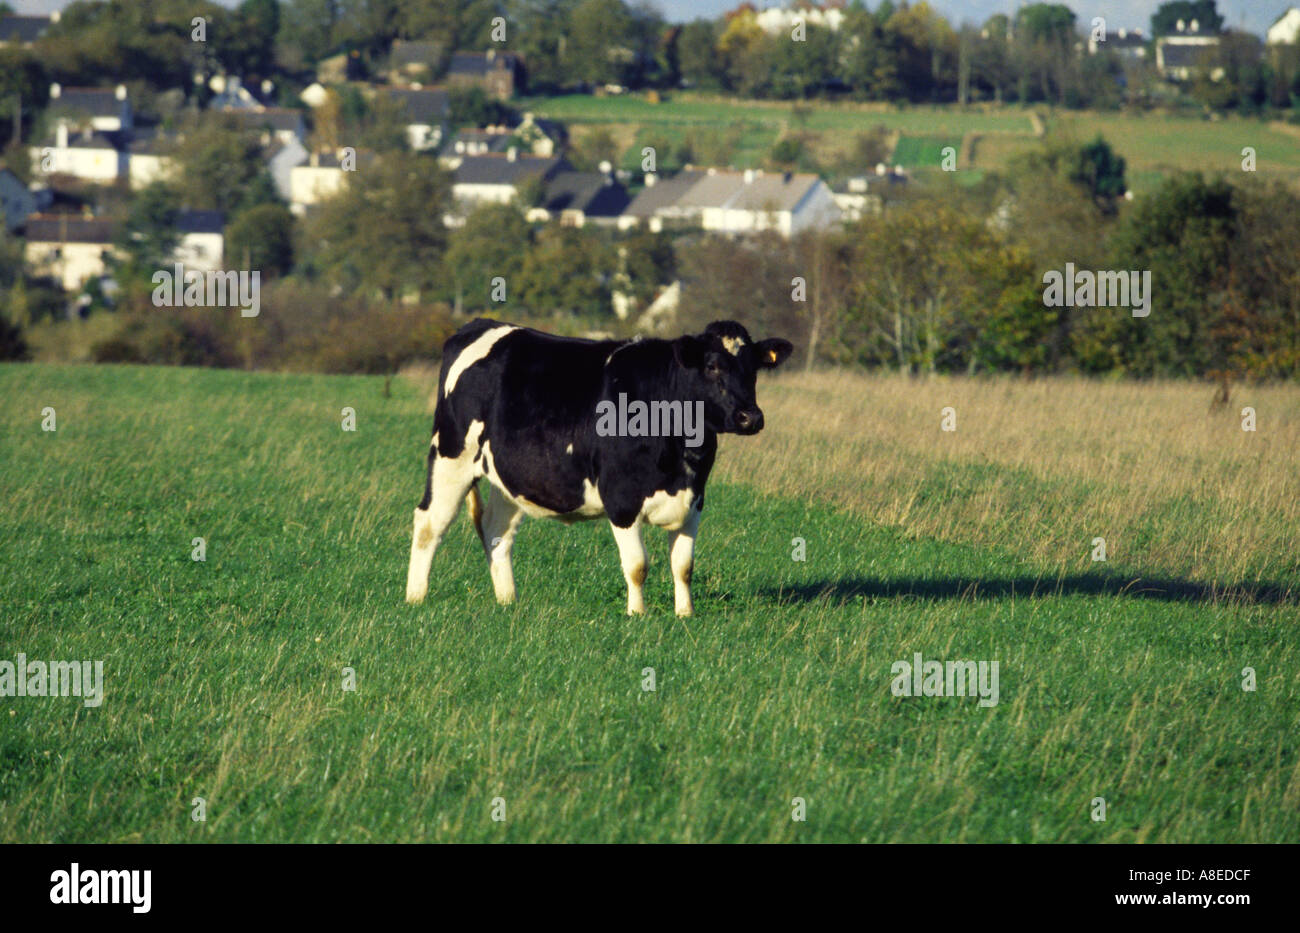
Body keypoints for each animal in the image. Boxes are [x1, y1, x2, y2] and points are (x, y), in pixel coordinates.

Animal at [404, 319, 793, 616]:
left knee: (495, 530)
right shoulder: (620, 498)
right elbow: (637, 565)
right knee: (429, 523)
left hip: (507, 478)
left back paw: (508, 601)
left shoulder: (694, 499)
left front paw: (685, 614)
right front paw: (637, 614)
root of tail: (478, 326)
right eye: (712, 366)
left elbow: (683, 567)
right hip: (450, 457)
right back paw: (415, 597)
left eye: (754, 369)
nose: (750, 417)